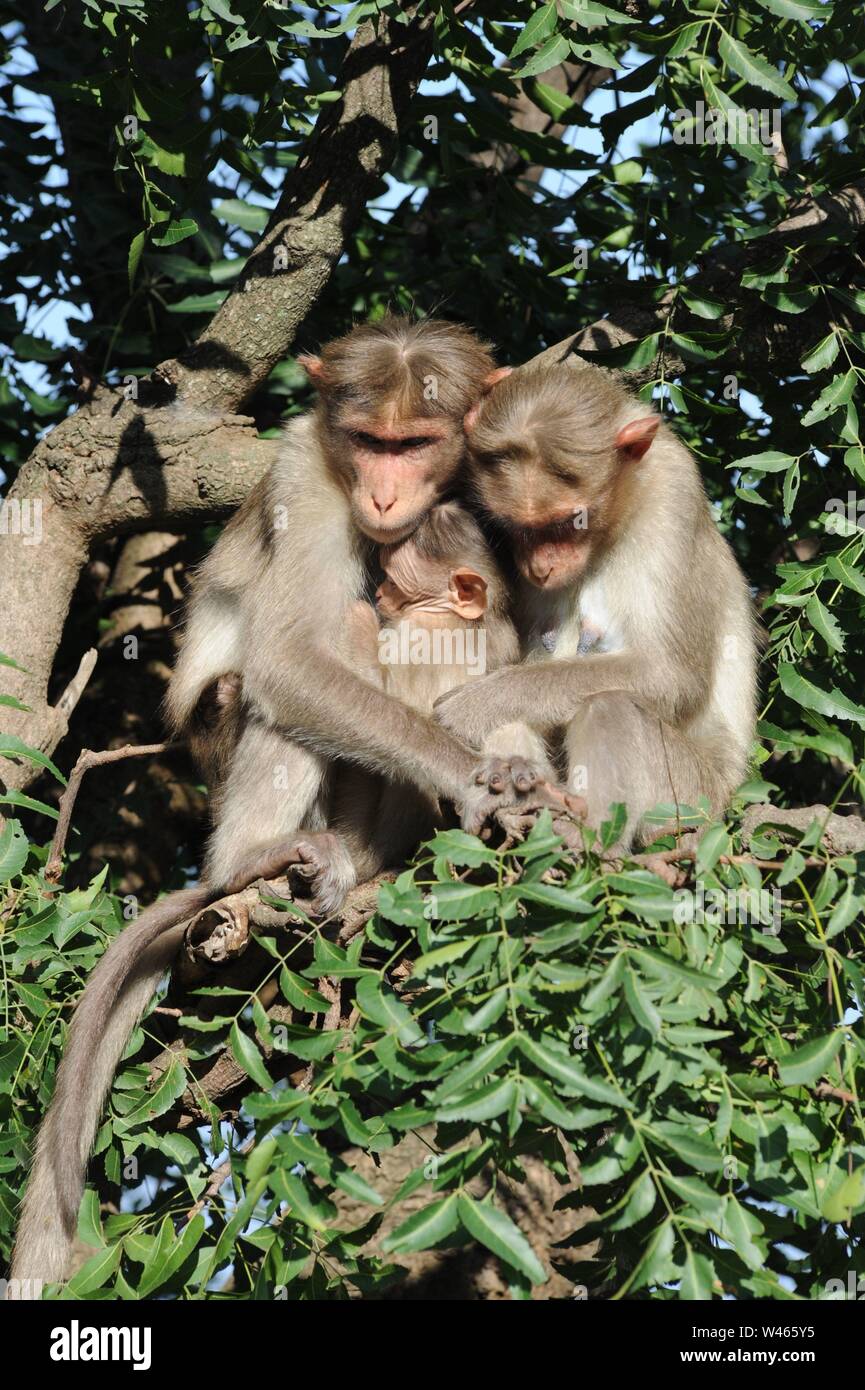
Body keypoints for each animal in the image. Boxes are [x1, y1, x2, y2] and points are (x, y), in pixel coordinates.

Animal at [434, 360, 758, 850]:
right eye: (518, 527)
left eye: (570, 523)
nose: (540, 567)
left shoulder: (674, 493)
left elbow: (669, 675)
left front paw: (473, 705)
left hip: (693, 802)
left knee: (611, 708)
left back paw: (588, 832)